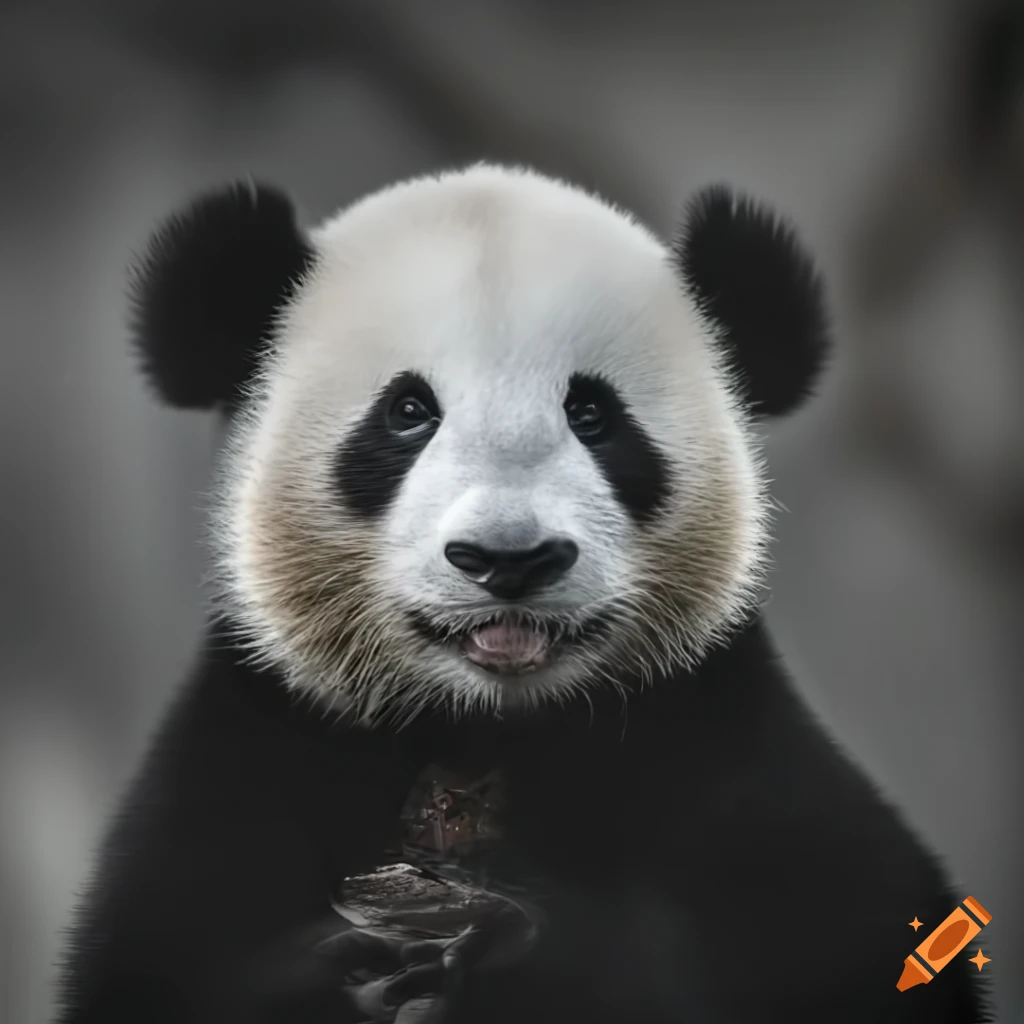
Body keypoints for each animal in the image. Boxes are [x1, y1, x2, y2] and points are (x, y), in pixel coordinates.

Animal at [55, 164, 988, 1024]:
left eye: (593, 414)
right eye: (406, 412)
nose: (509, 559)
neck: (481, 726)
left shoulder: (736, 769)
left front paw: (509, 944)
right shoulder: (250, 760)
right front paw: (354, 958)